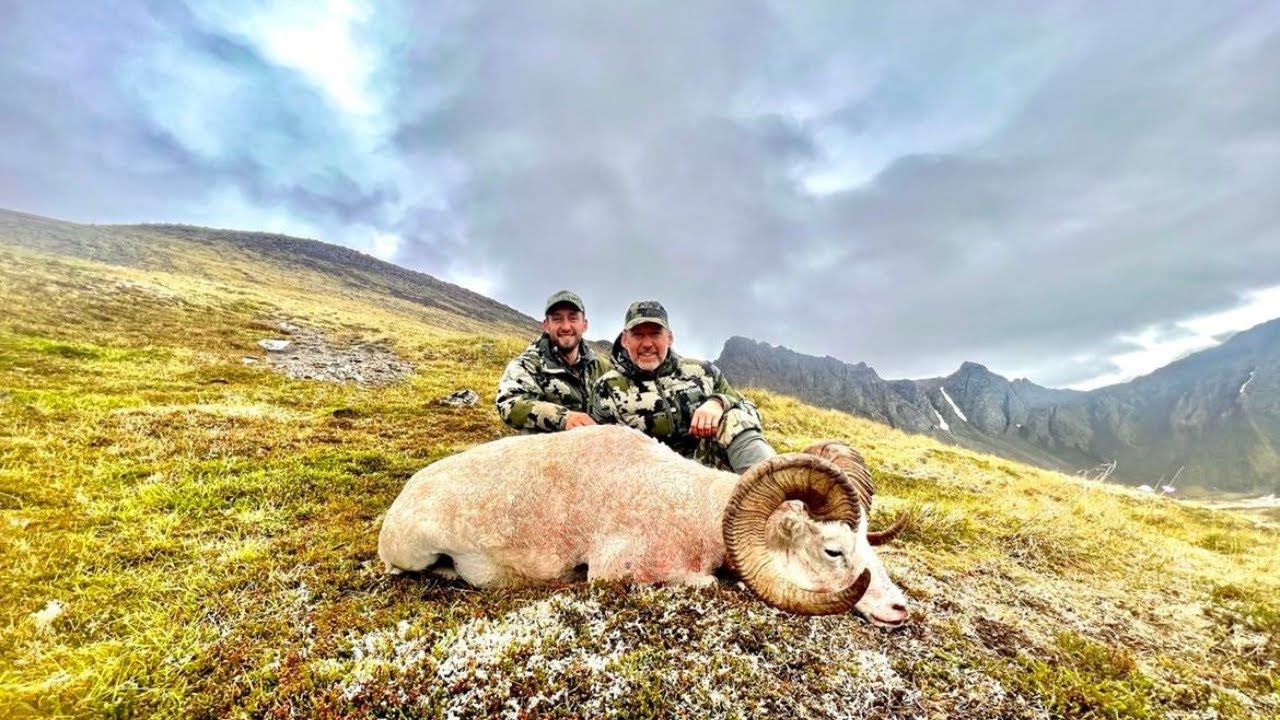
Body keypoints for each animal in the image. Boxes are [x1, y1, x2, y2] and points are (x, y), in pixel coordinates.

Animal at [378, 425, 909, 624]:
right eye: (833, 549)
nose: (900, 609)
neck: (693, 507)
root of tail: (400, 505)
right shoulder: (618, 571)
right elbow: (707, 583)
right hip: (415, 557)